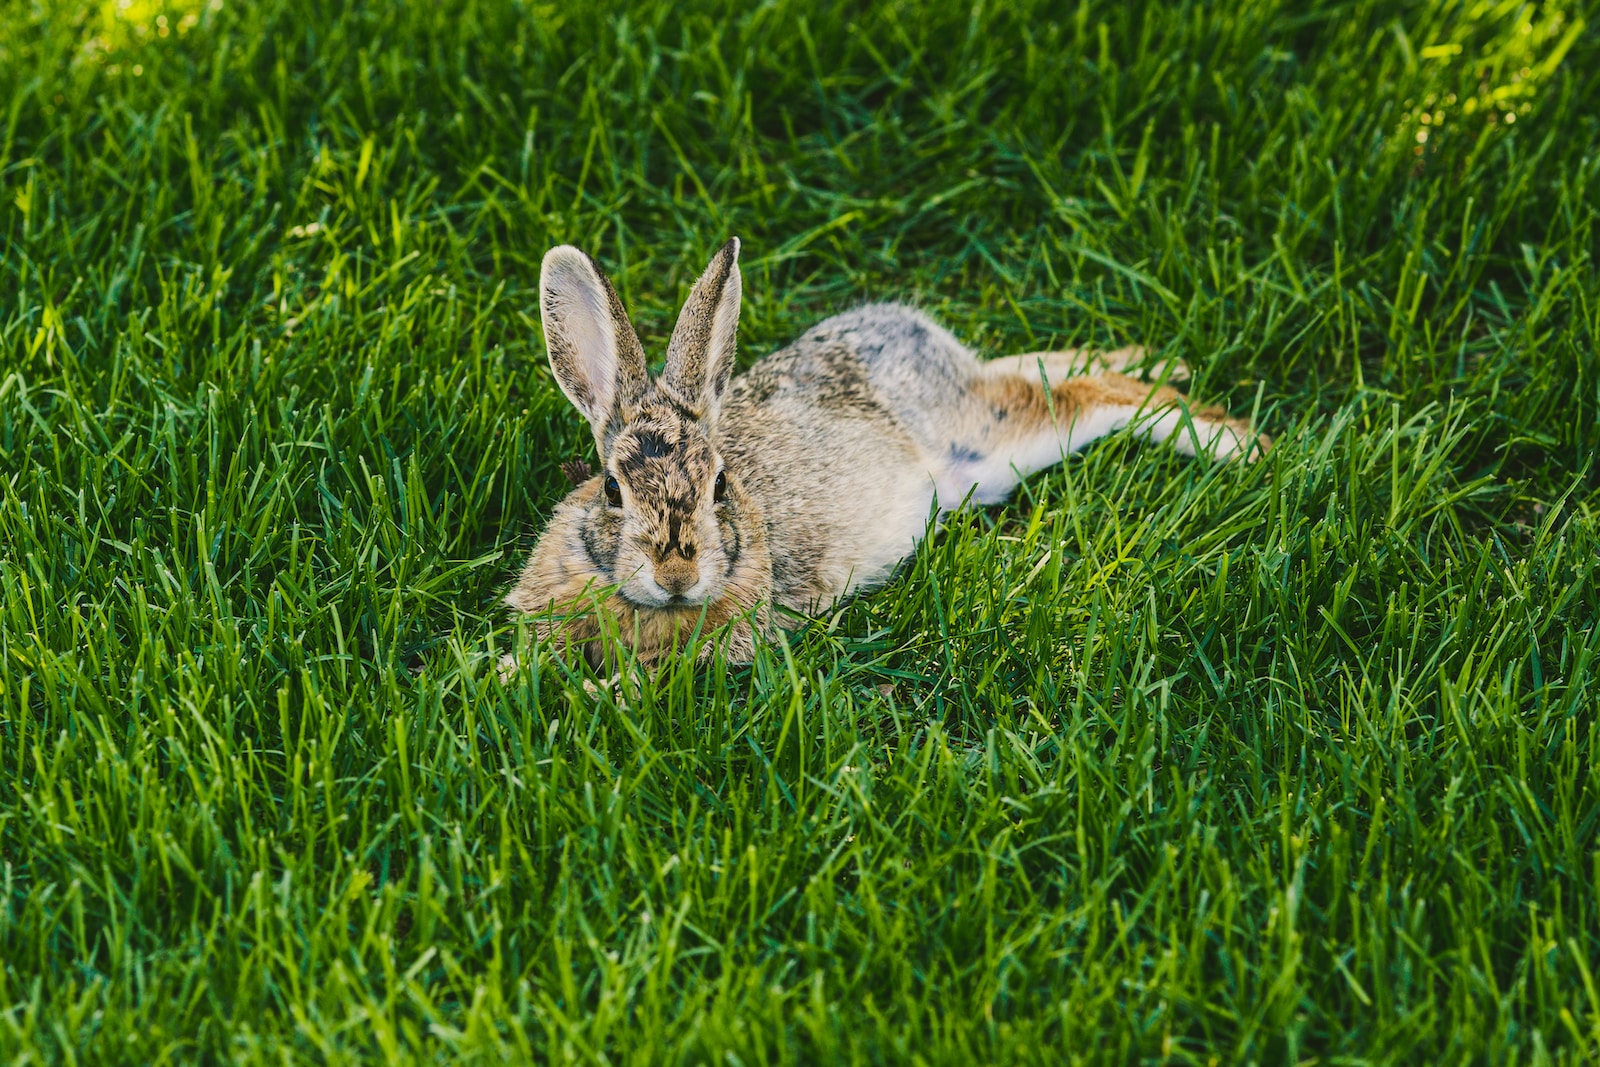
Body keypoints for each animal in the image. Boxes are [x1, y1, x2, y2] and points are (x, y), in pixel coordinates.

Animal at [503, 237, 1268, 671]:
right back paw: (1163, 360)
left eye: (719, 485)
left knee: (1093, 392)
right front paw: (514, 676)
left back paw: (1244, 442)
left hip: (989, 438)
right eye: (612, 489)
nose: (676, 577)